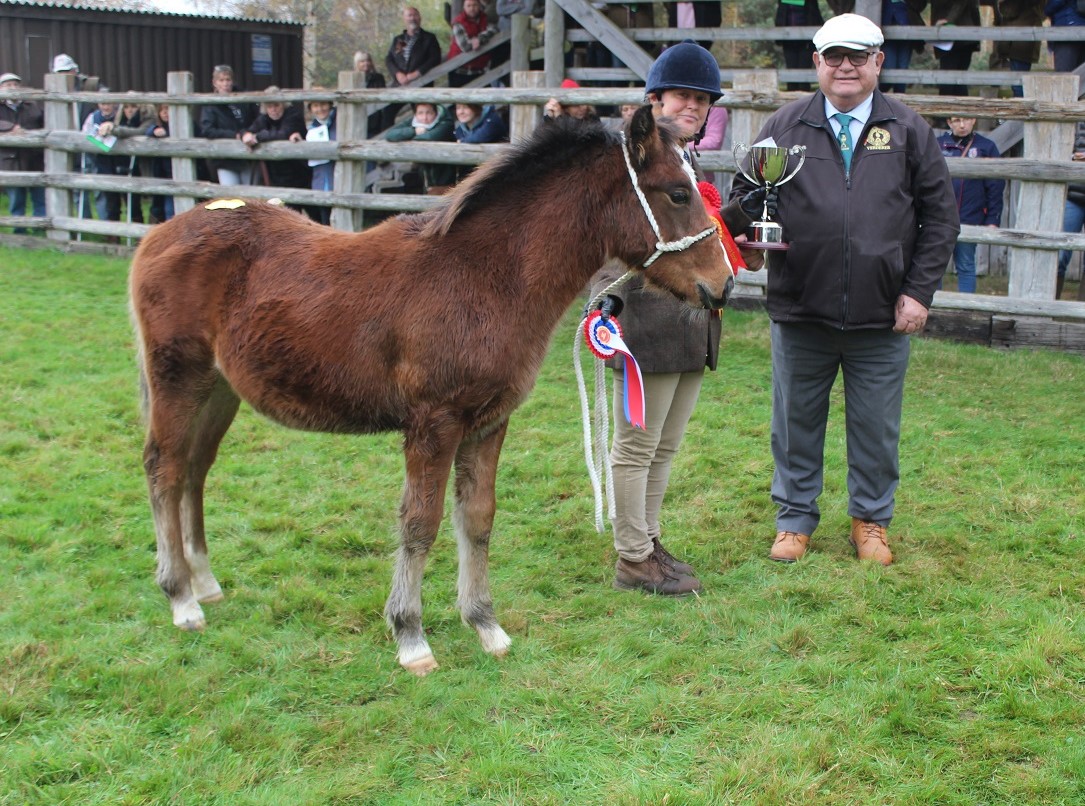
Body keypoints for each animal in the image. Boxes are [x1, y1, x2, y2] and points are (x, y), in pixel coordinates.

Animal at [129, 105, 733, 675]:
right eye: (678, 192)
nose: (722, 285)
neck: (483, 275)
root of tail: (160, 232)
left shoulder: (489, 421)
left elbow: (478, 518)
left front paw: (485, 625)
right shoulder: (433, 423)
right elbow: (421, 523)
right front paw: (410, 637)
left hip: (218, 389)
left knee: (195, 470)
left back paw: (205, 582)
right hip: (178, 378)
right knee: (164, 468)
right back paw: (182, 599)